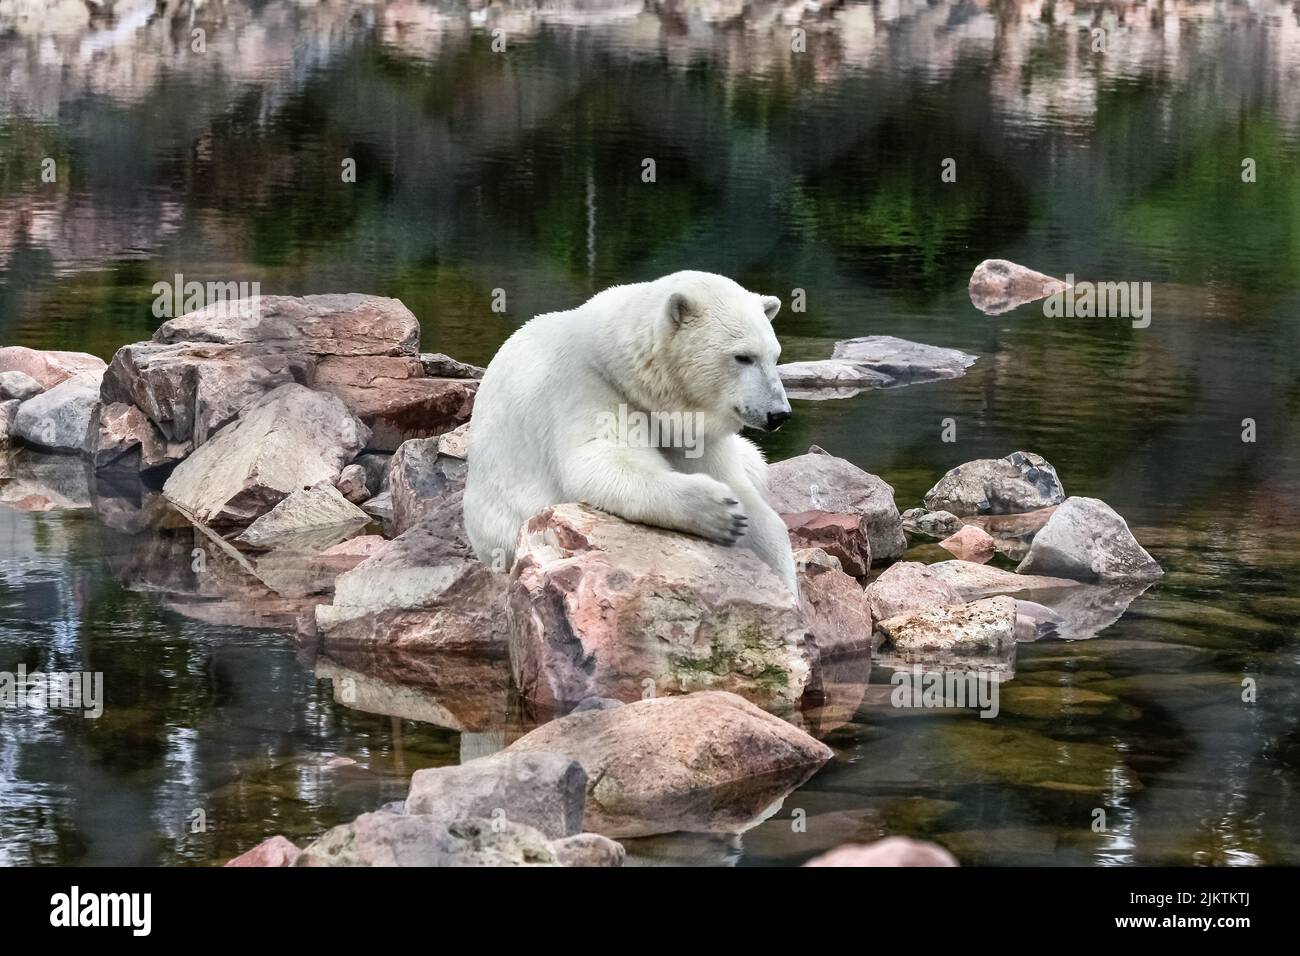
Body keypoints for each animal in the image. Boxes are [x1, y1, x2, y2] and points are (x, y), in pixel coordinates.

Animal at [463, 270, 798, 592]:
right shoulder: (586, 385)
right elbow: (600, 460)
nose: (778, 414)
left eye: (774, 356)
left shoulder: (695, 431)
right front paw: (722, 512)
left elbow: (744, 494)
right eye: (743, 356)